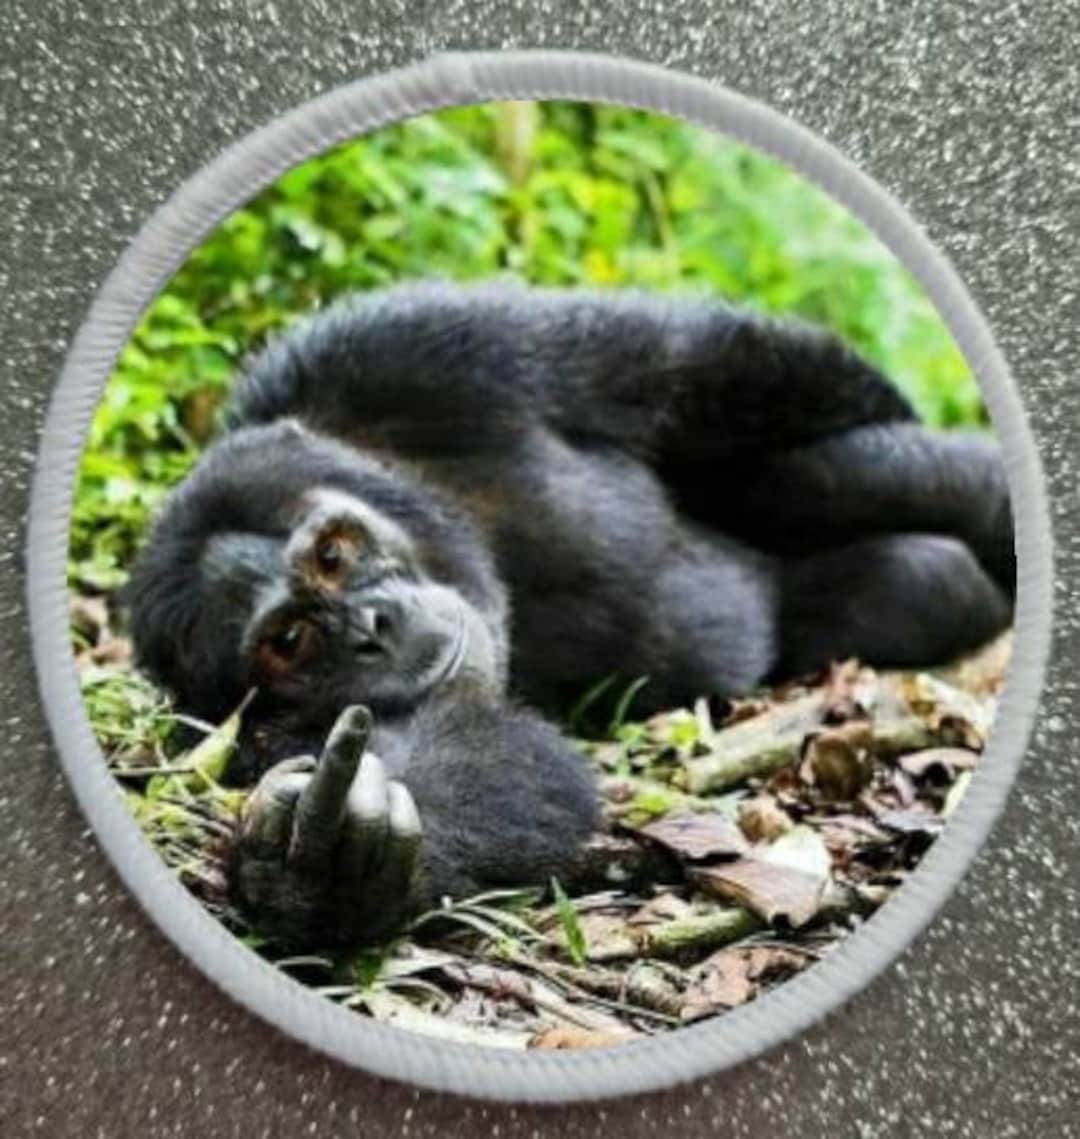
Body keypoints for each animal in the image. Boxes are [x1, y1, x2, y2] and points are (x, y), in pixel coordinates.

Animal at [126, 279, 1014, 950]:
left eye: (334, 556)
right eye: (291, 640)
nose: (370, 626)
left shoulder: (408, 350)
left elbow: (696, 368)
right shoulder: (243, 735)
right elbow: (484, 756)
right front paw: (332, 858)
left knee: (818, 473)